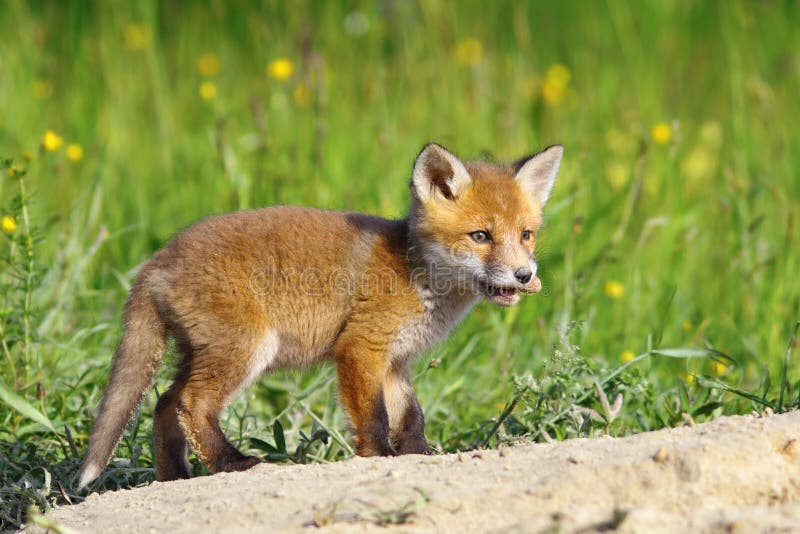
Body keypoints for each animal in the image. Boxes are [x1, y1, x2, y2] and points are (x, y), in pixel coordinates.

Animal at [78, 142, 563, 488]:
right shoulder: (360, 348)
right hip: (245, 349)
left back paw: (176, 478)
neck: (417, 273)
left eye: (526, 234)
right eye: (480, 236)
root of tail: (159, 258)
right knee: (190, 404)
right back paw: (232, 462)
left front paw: (420, 455)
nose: (525, 275)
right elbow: (373, 417)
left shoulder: (395, 360)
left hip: (201, 352)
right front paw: (379, 458)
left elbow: (412, 416)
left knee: (164, 403)